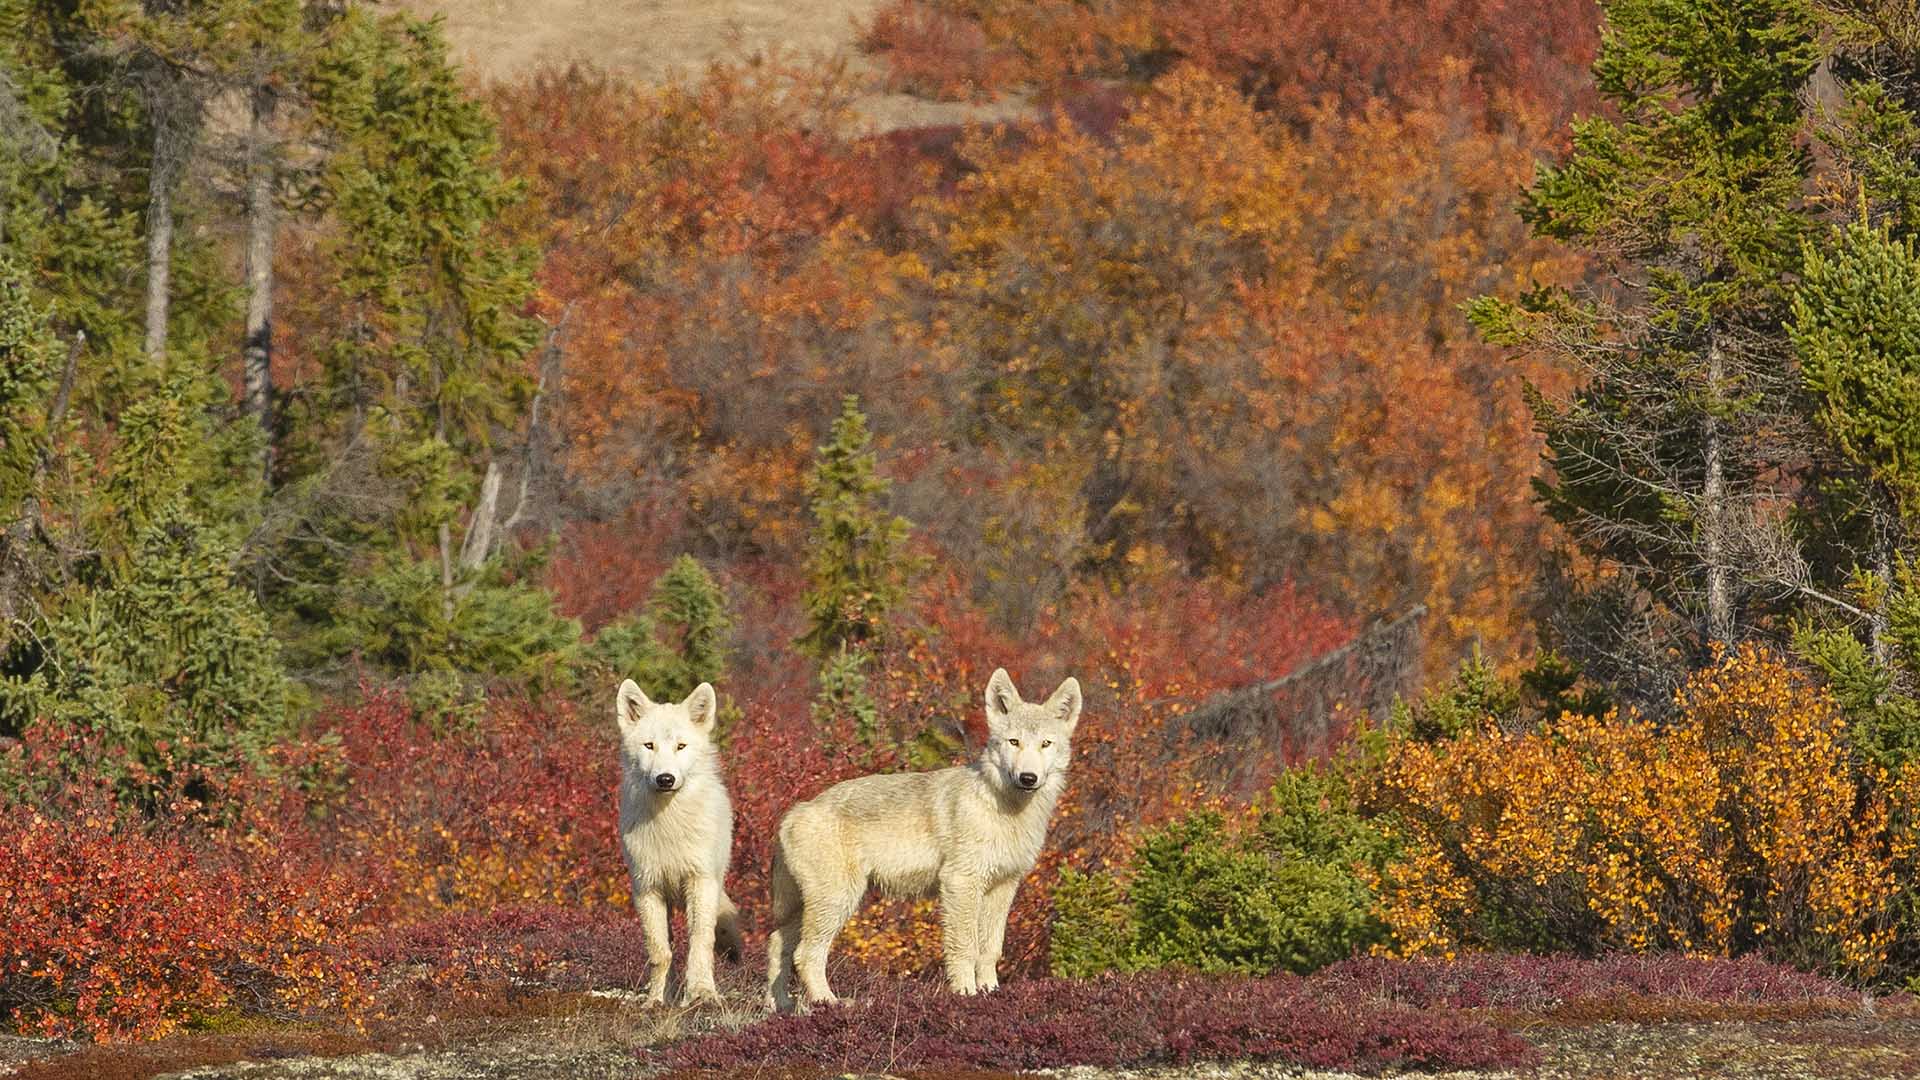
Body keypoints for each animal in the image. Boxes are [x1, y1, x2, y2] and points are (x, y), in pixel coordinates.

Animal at [616, 679, 743, 1006]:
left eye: (681, 747)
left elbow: (700, 942)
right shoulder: (647, 889)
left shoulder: (700, 882)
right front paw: (656, 1000)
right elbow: (660, 952)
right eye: (649, 746)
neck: (669, 825)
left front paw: (702, 993)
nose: (665, 779)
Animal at [764, 668, 1082, 1012]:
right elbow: (964, 947)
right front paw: (966, 995)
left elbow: (990, 950)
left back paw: (778, 1008)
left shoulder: (1003, 887)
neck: (1006, 810)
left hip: (810, 906)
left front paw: (991, 993)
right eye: (1014, 742)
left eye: (1045, 744)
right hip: (839, 900)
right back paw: (829, 1003)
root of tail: (794, 812)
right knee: (806, 954)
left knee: (777, 945)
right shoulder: (960, 883)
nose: (1028, 778)